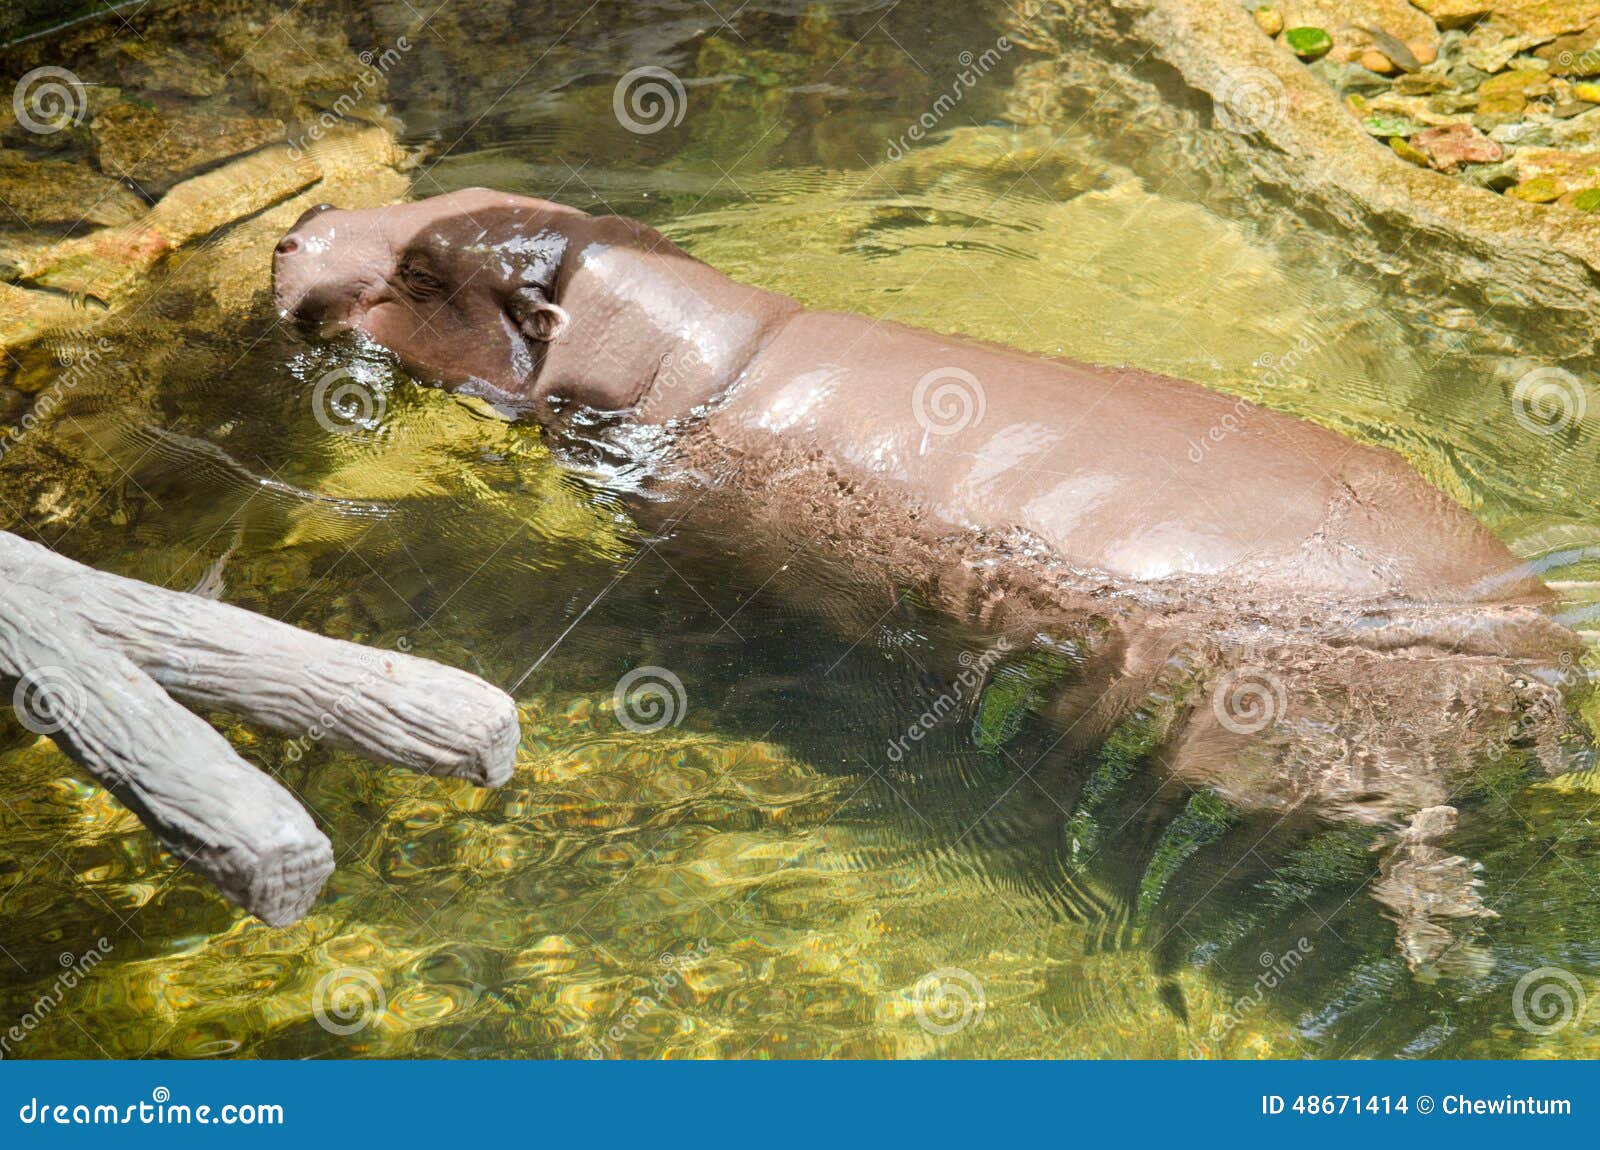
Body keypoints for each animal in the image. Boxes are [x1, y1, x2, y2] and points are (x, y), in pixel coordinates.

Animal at [272, 189, 1588, 975]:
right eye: (439, 202)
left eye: (424, 270)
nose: (296, 227)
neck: (697, 355)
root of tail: (1540, 660)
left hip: (1265, 747)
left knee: (1402, 822)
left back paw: (1440, 944)